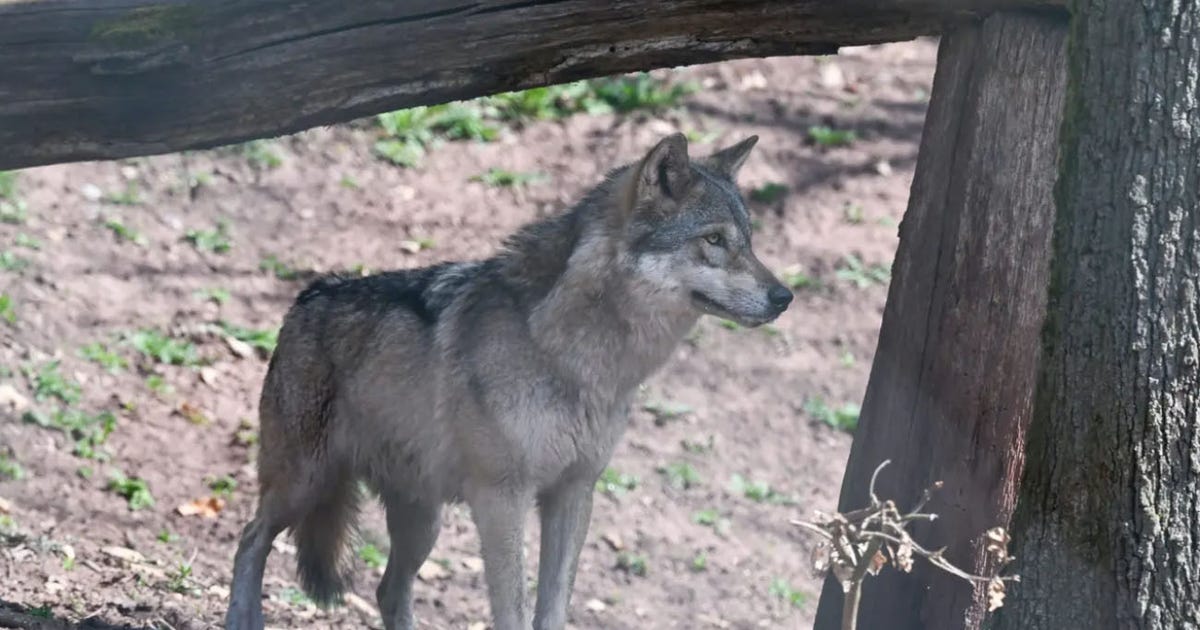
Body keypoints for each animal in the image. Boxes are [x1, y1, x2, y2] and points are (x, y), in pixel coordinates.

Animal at [224, 132, 793, 630]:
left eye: (748, 243)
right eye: (713, 241)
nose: (784, 296)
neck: (574, 358)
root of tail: (309, 294)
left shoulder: (574, 492)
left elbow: (553, 608)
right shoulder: (502, 499)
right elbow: (514, 610)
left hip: (421, 521)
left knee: (388, 590)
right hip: (305, 484)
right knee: (250, 540)